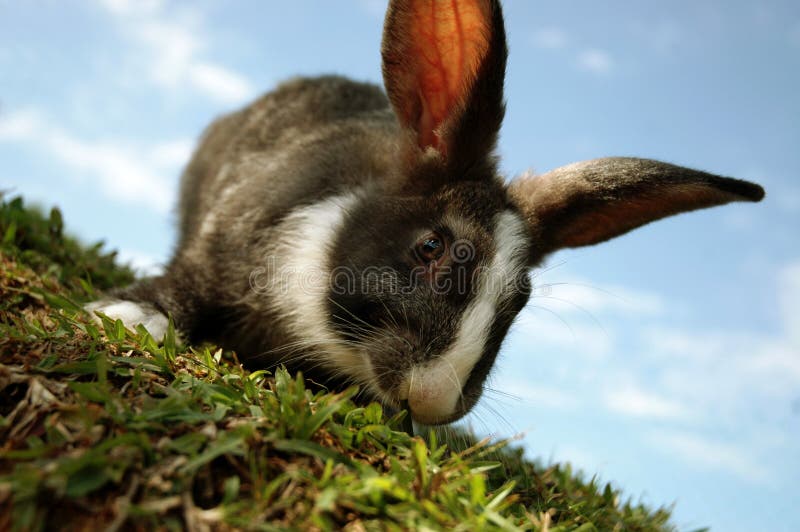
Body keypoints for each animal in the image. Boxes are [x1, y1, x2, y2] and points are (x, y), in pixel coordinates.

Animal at [87, 0, 764, 425]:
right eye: (431, 248)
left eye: (519, 300)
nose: (434, 398)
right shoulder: (220, 244)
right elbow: (186, 284)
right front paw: (126, 316)